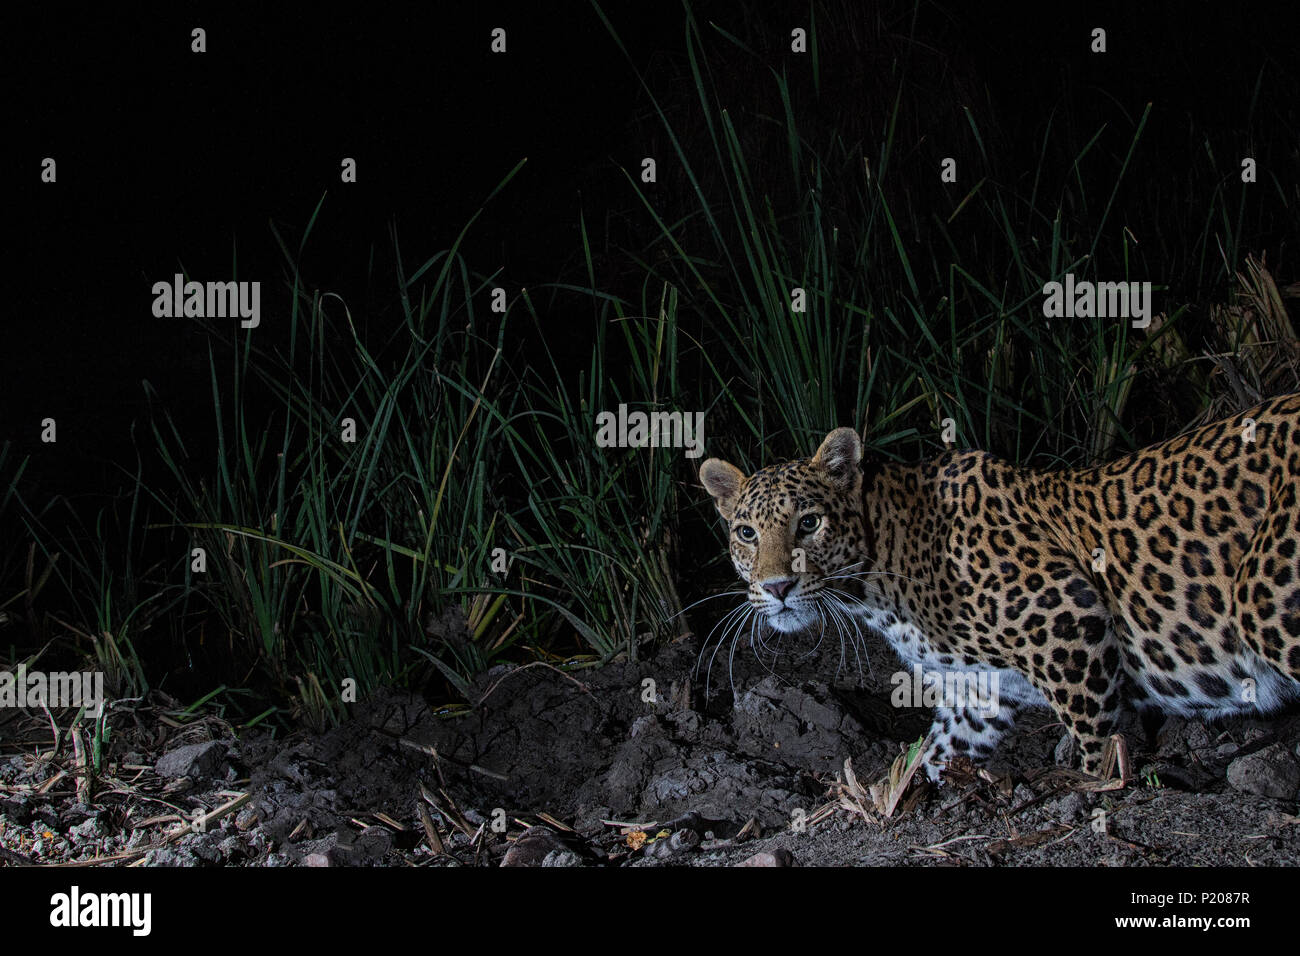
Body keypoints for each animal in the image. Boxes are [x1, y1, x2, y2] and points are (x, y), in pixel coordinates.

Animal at [698, 393, 1300, 783]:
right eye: (747, 533)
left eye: (809, 523)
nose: (777, 586)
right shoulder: (976, 693)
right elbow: (933, 756)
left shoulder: (1070, 625)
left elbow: (1097, 742)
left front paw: (1096, 789)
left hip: (1266, 599)